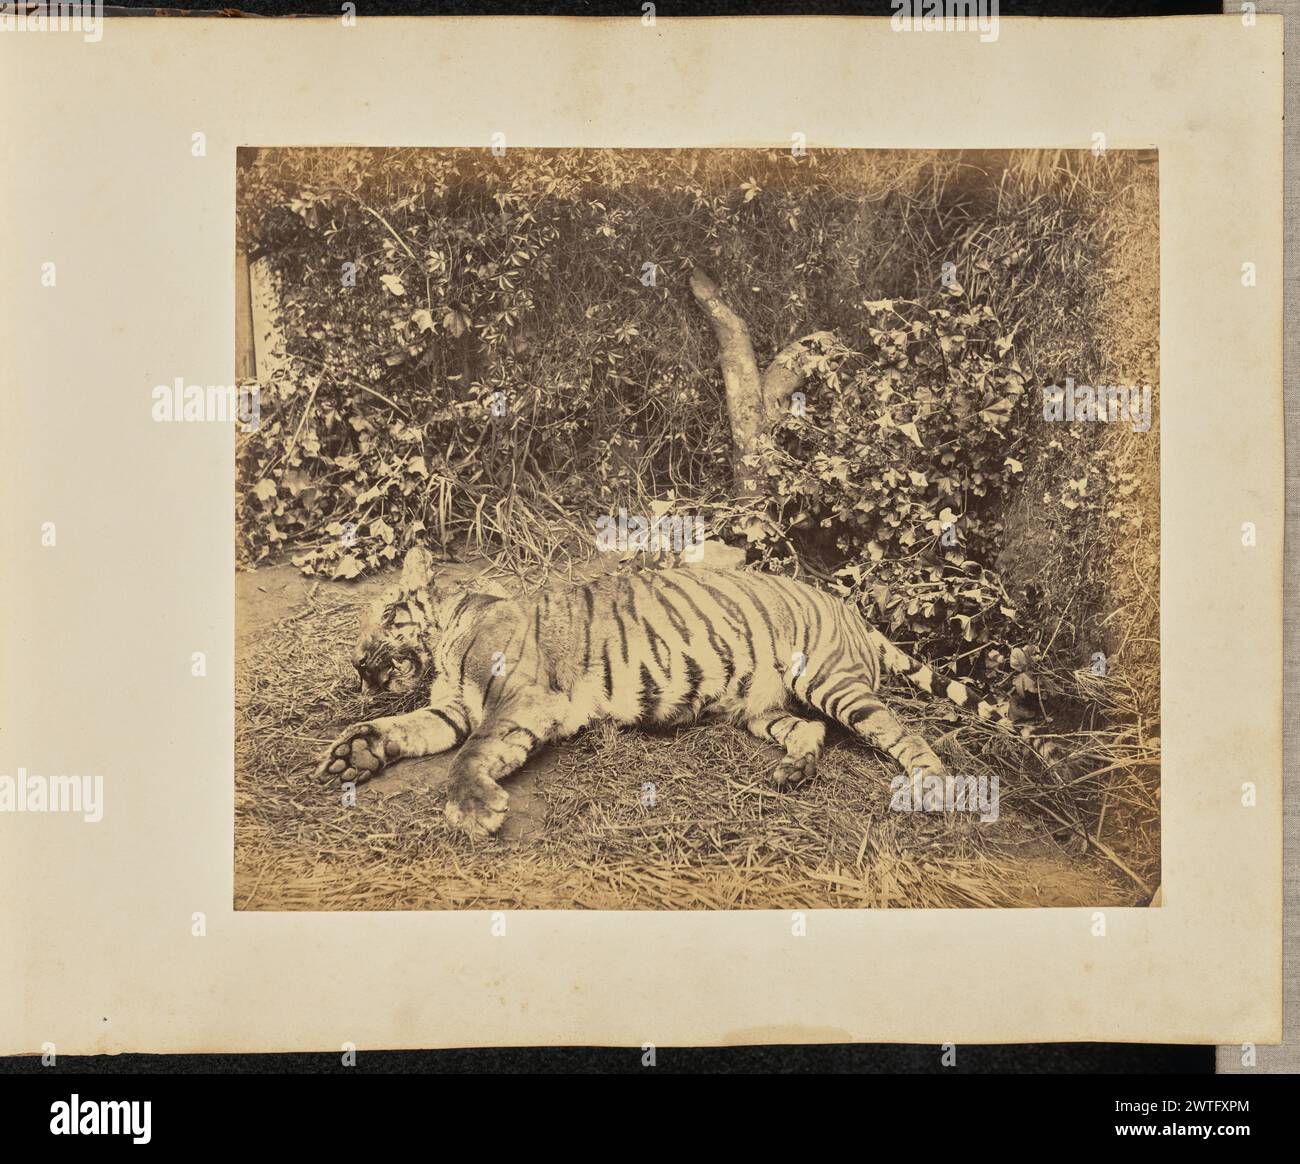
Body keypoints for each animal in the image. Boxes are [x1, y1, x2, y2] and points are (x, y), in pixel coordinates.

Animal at [315, 546, 1063, 837]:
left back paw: (933, 788)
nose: (354, 665)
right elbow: (407, 730)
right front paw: (354, 753)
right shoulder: (450, 706)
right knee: (808, 730)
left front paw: (475, 809)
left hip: (831, 680)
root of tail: (853, 611)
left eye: (385, 613)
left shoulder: (521, 700)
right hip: (759, 709)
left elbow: (472, 754)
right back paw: (793, 773)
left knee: (907, 734)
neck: (448, 634)